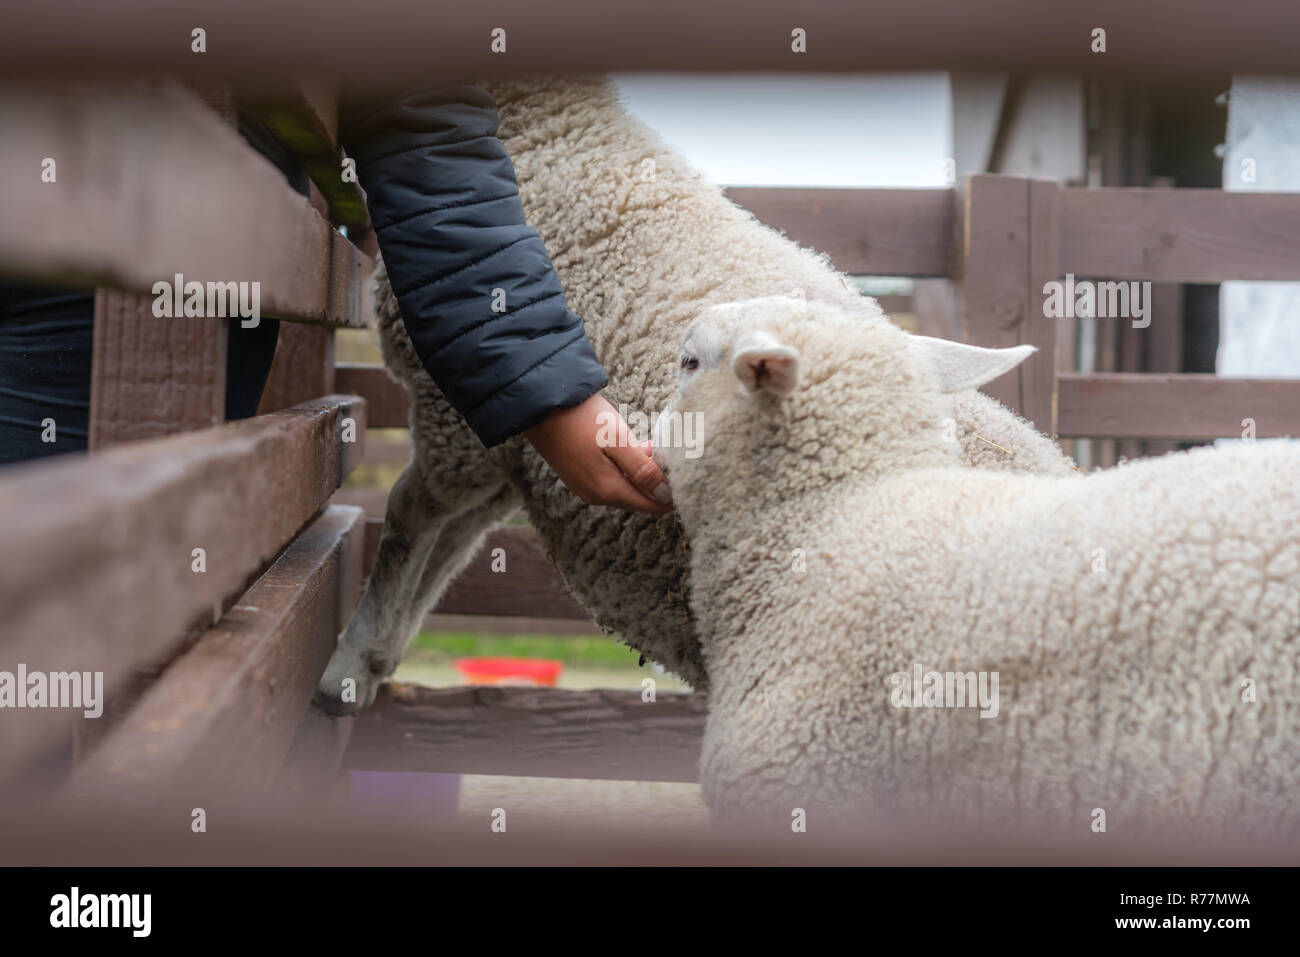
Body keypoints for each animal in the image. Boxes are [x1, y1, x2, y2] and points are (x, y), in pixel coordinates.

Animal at [315, 76, 1078, 713]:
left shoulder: (454, 414)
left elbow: (410, 522)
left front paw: (350, 666)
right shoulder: (512, 438)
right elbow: (450, 545)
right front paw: (380, 655)